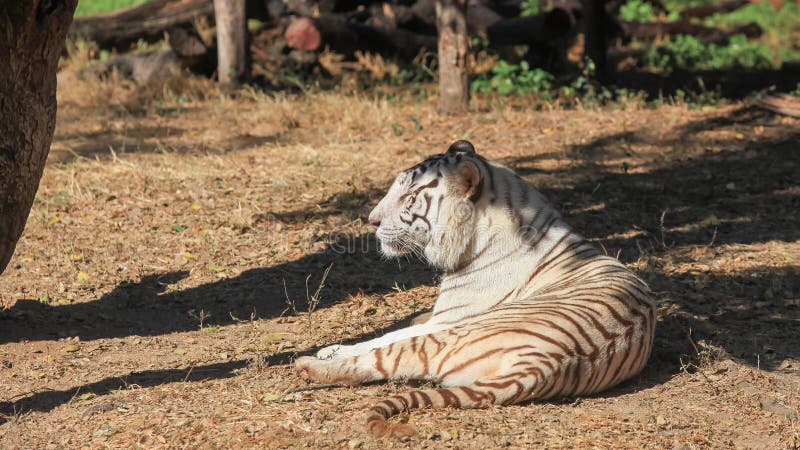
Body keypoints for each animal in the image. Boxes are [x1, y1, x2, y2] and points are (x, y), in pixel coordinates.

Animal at [294, 140, 656, 437]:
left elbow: (384, 336)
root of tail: (542, 364)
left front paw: (332, 349)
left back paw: (308, 364)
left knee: (378, 359)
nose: (371, 221)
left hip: (448, 337)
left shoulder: (449, 318)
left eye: (409, 197)